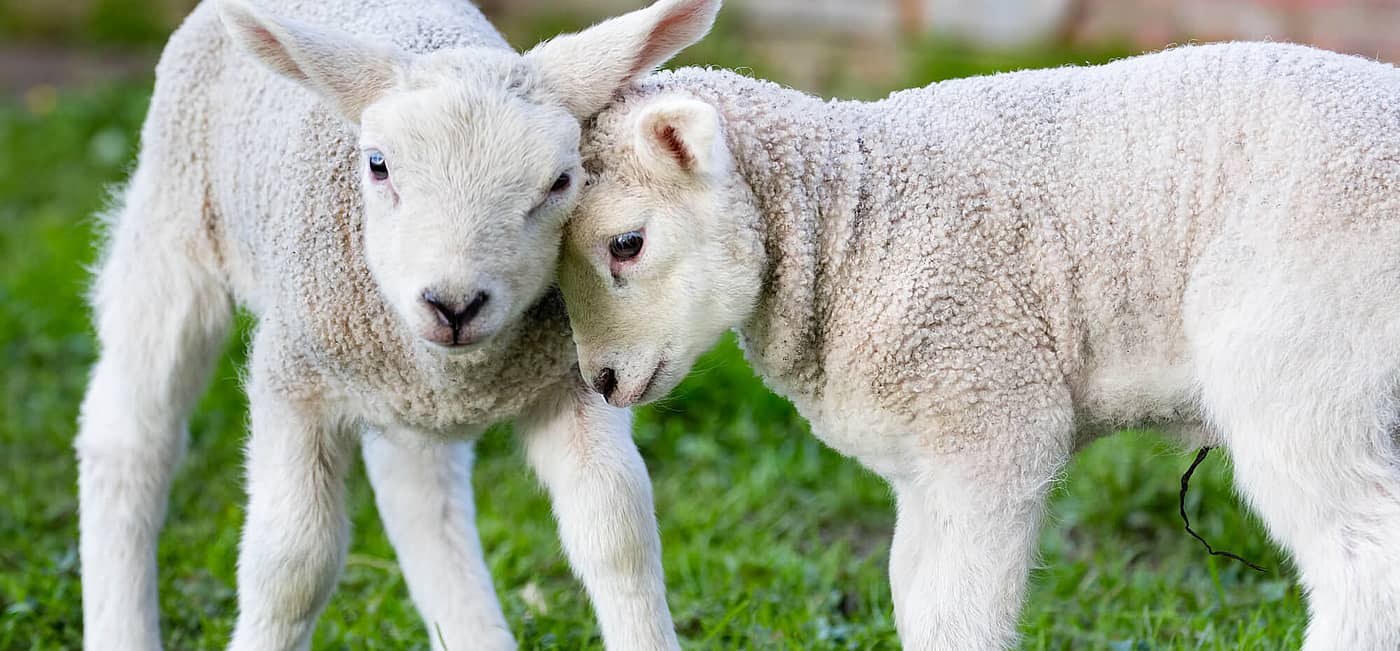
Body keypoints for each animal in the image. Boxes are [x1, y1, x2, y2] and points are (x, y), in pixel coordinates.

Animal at [73, 0, 719, 649]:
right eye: (378, 165)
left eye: (562, 182)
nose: (454, 305)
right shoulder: (293, 378)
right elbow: (292, 563)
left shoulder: (569, 379)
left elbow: (618, 533)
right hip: (174, 221)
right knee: (128, 438)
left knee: (418, 492)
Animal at [558, 42, 1400, 649]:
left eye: (627, 244)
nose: (602, 380)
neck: (851, 217)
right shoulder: (923, 461)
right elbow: (913, 598)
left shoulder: (990, 418)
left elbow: (956, 616)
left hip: (1299, 353)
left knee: (1366, 559)